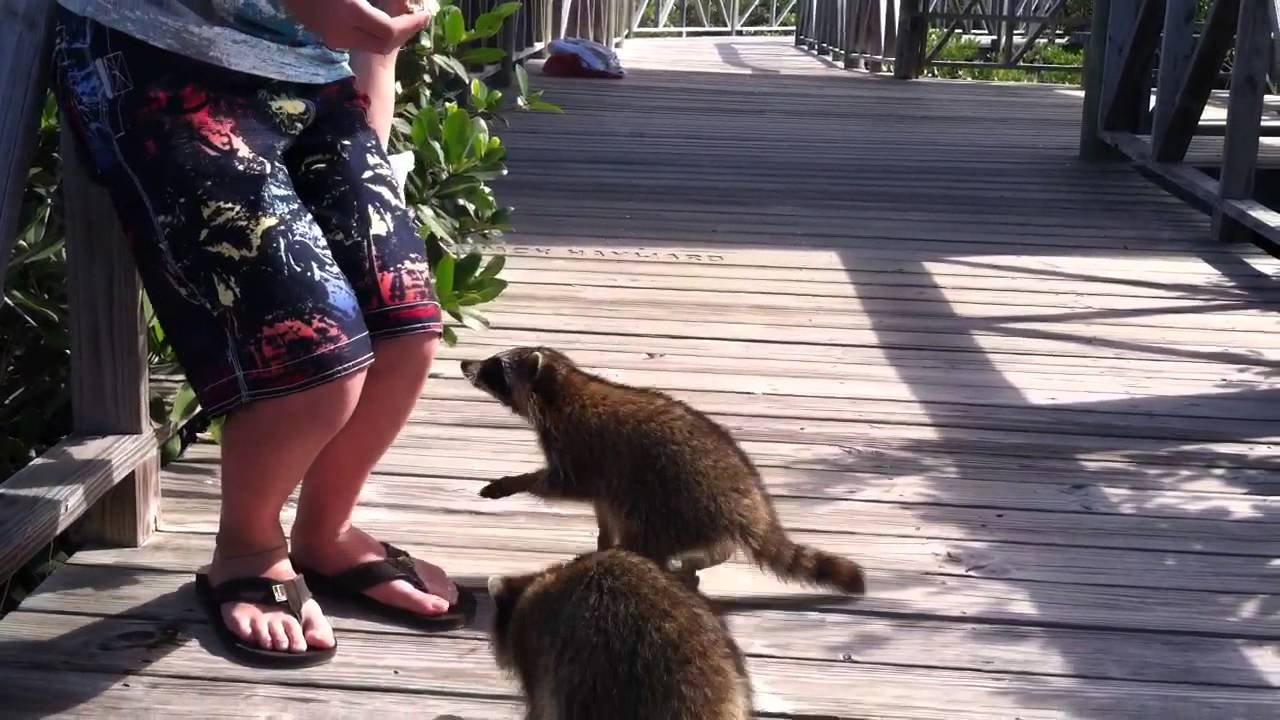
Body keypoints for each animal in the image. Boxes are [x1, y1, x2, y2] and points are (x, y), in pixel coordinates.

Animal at [461, 346, 866, 594]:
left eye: (495, 367)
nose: (465, 364)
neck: (565, 387)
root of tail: (749, 500)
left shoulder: (579, 447)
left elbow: (563, 485)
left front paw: (515, 482)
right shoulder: (605, 476)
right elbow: (602, 507)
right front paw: (602, 540)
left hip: (675, 504)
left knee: (648, 534)